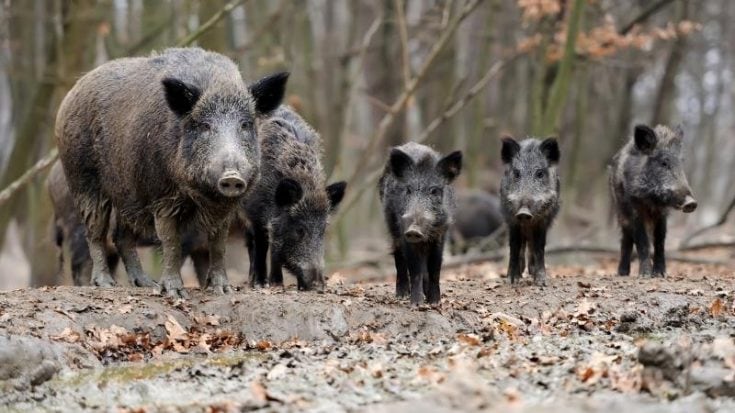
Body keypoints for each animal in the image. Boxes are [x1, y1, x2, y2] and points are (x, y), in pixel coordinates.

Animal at [55, 47, 287, 298]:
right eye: (204, 125)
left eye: (245, 125)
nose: (232, 176)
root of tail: (72, 93)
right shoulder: (162, 196)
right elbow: (171, 241)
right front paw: (175, 292)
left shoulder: (225, 207)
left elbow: (218, 243)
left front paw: (223, 290)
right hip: (83, 180)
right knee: (95, 231)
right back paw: (106, 283)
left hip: (128, 192)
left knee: (121, 236)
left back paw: (146, 283)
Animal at [244, 106, 346, 292]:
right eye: (300, 230)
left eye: (323, 230)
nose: (318, 285)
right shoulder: (255, 214)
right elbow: (263, 246)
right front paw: (265, 284)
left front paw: (285, 285)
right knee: (251, 243)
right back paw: (253, 281)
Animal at [378, 142, 462, 305]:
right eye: (408, 189)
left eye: (434, 191)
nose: (414, 230)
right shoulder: (404, 233)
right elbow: (414, 268)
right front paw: (416, 304)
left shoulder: (441, 234)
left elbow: (435, 267)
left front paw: (434, 302)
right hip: (391, 224)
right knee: (398, 256)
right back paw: (402, 295)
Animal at [500, 136, 560, 286]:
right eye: (516, 173)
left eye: (539, 173)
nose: (524, 212)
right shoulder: (512, 219)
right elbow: (514, 245)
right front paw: (512, 280)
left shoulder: (543, 220)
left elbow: (539, 246)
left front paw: (541, 282)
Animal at [609, 124, 697, 277]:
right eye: (664, 163)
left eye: (681, 163)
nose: (691, 203)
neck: (652, 200)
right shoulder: (635, 209)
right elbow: (642, 241)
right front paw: (645, 275)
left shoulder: (662, 213)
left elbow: (660, 240)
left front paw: (661, 274)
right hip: (620, 212)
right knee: (626, 238)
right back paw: (622, 273)